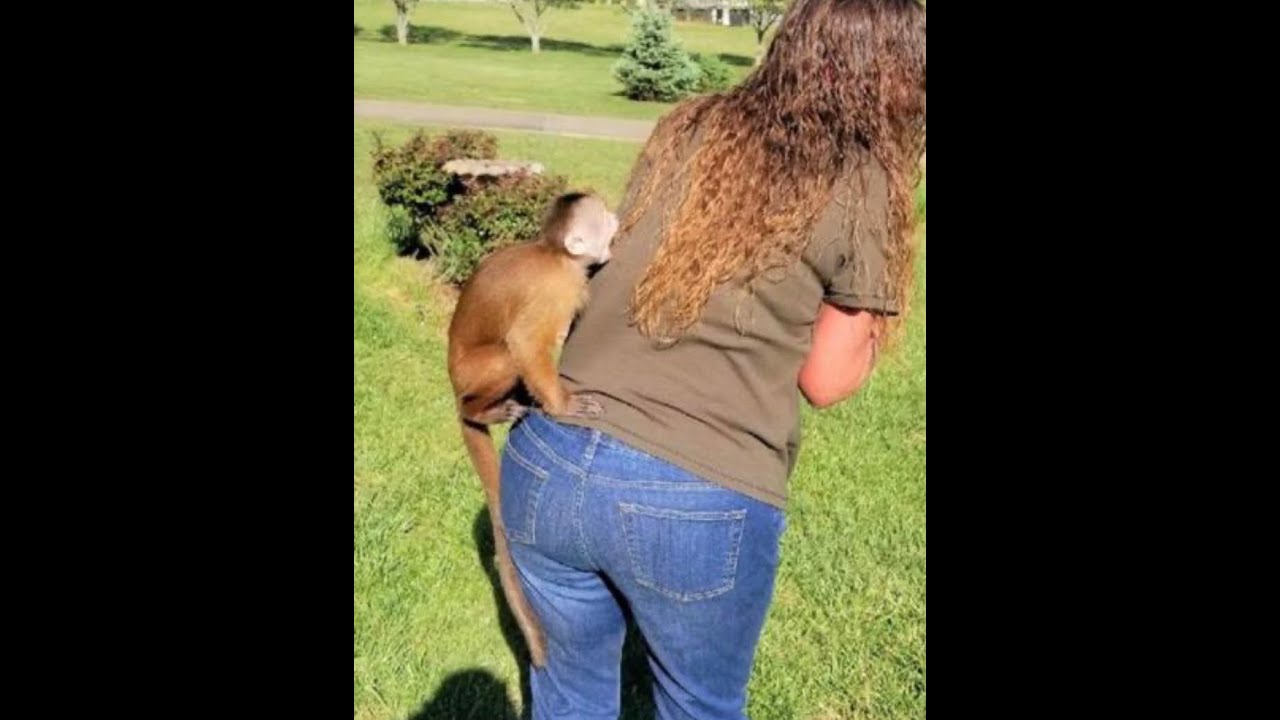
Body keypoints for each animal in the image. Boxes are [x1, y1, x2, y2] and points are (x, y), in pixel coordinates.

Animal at [447, 192, 618, 668]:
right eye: (605, 220)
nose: (617, 219)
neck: (553, 253)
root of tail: (452, 383)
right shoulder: (559, 288)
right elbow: (526, 344)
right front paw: (563, 405)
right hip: (471, 376)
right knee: (506, 353)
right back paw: (480, 412)